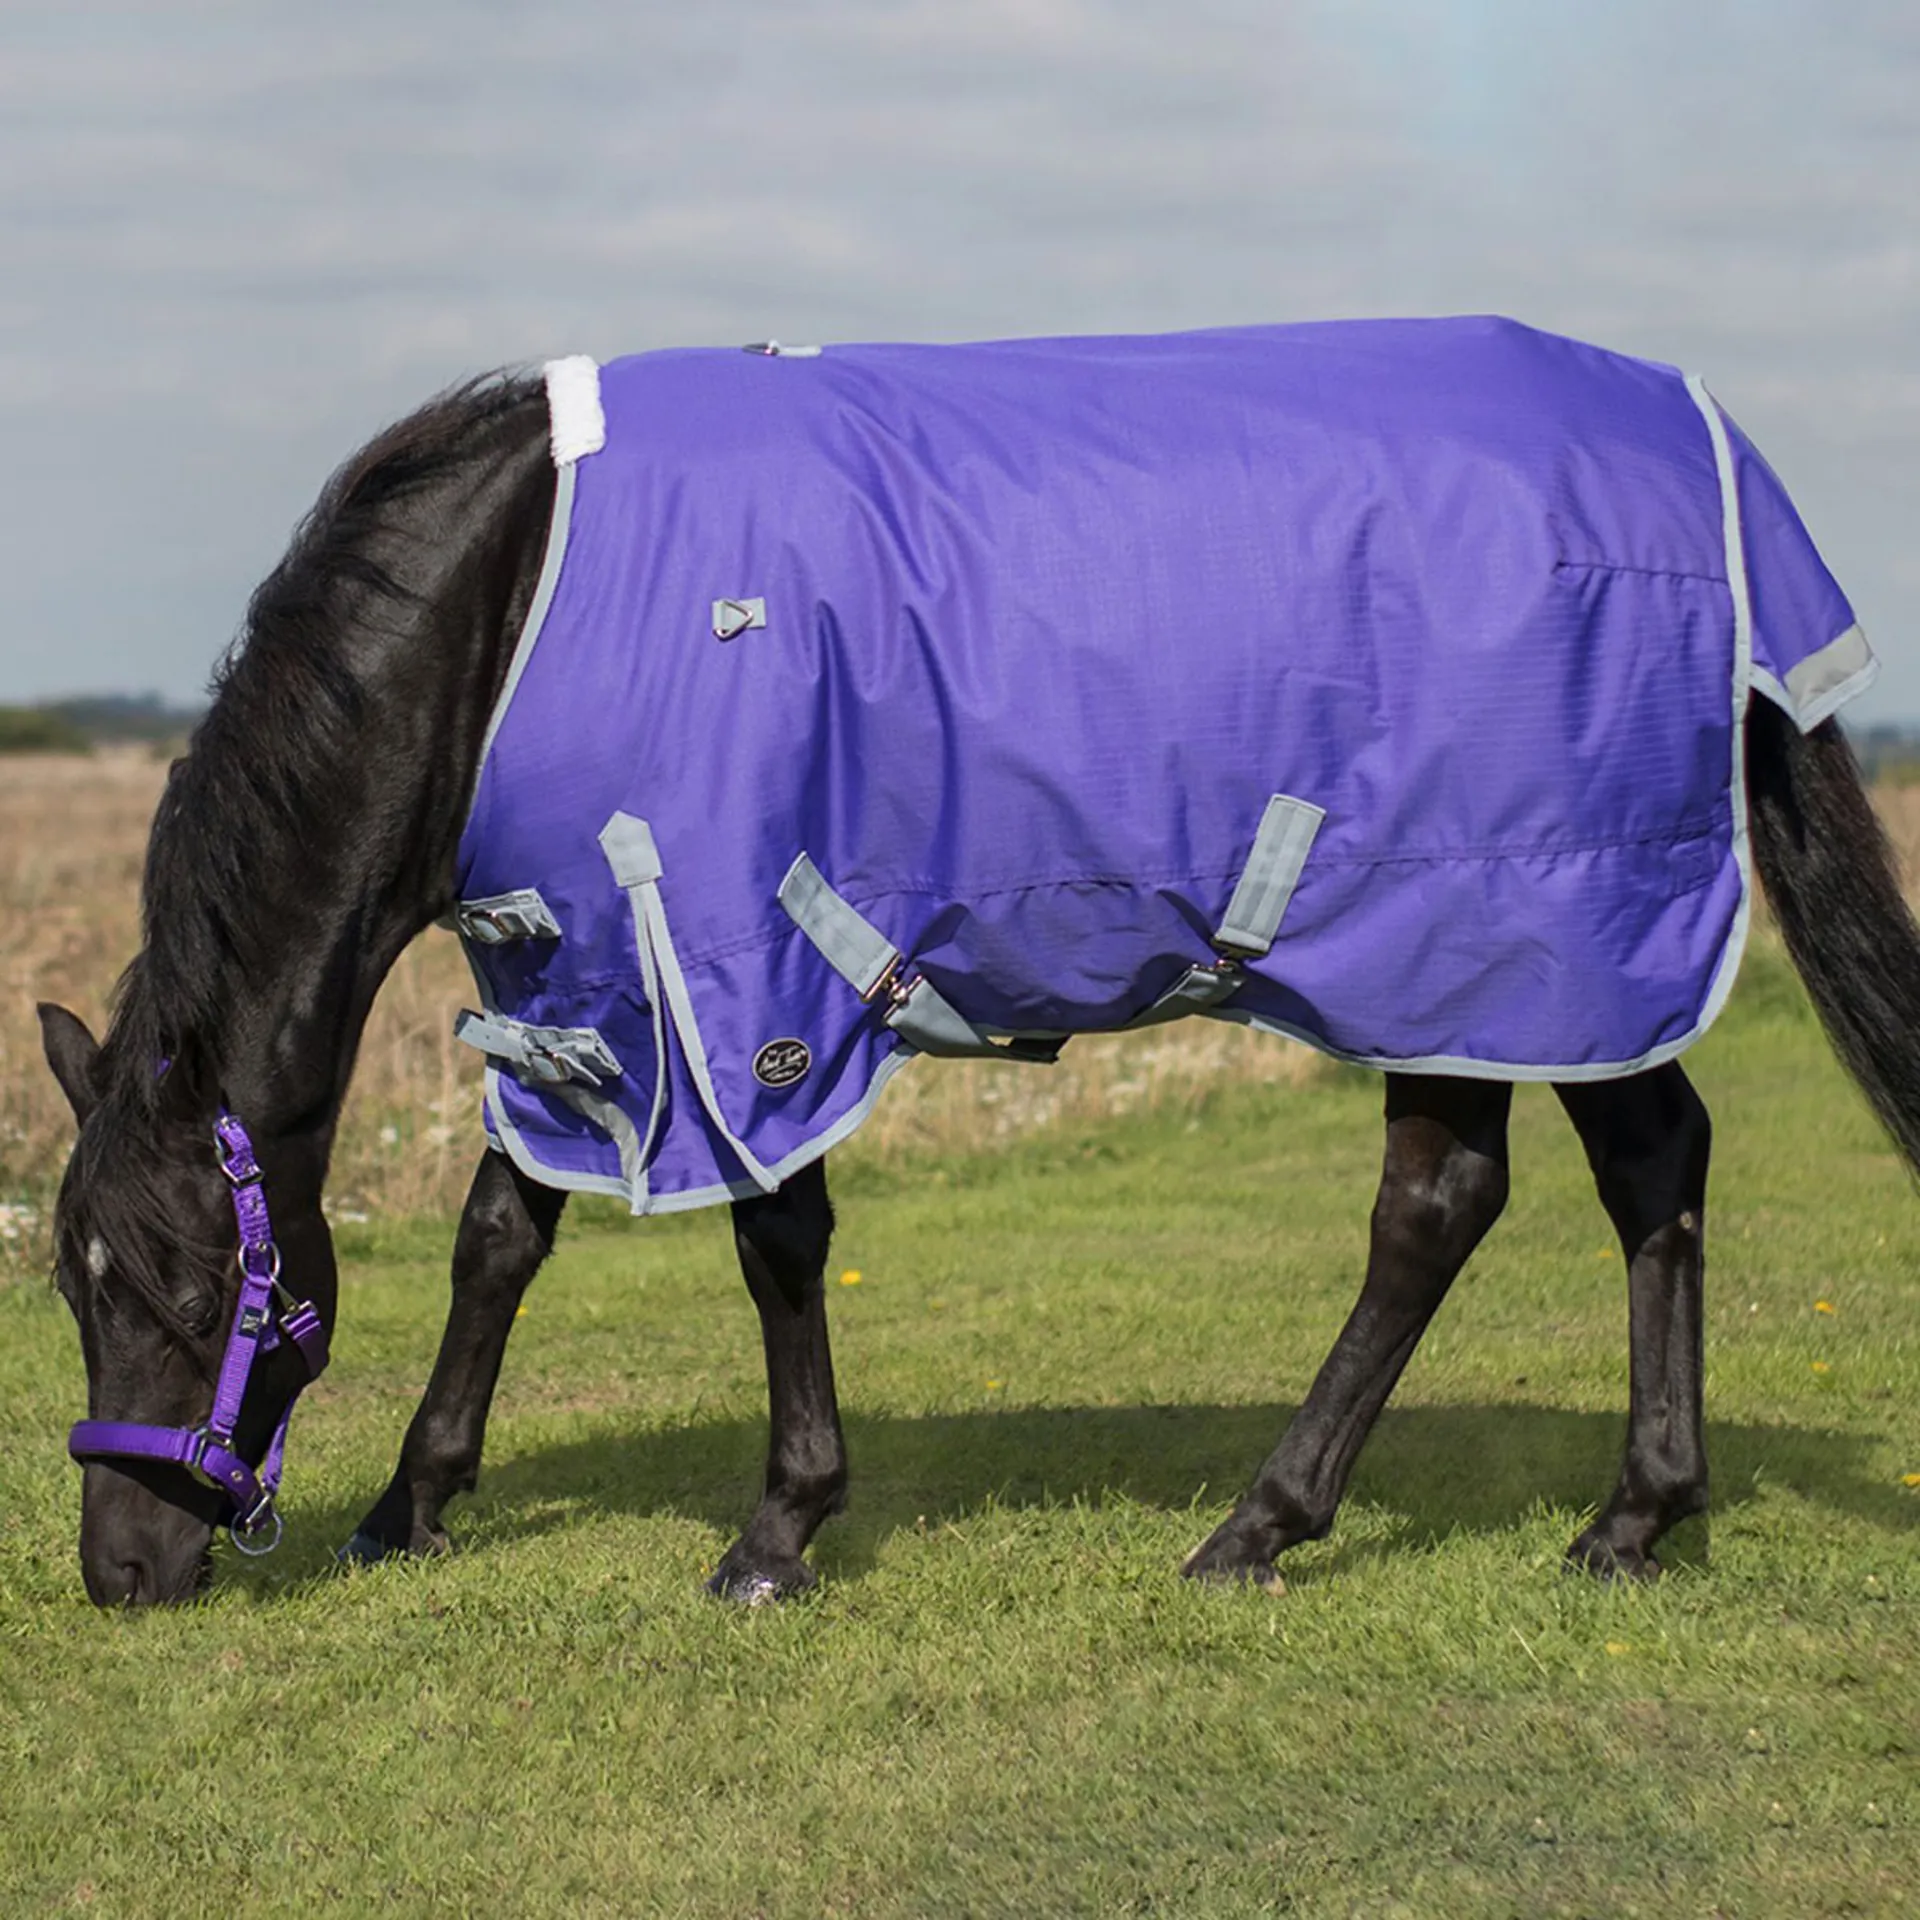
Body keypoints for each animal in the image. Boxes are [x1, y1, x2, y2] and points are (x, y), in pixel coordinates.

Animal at [39, 320, 1920, 1609]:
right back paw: (1636, 1512)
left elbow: (776, 1242)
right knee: (1649, 1165)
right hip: (1575, 956)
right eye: (72, 1287)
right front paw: (412, 1504)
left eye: (192, 1293)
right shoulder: (579, 980)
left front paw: (779, 1527)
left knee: (1437, 1208)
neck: (516, 608)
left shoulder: (740, 971)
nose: (122, 1572)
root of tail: (1704, 449)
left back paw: (1264, 1522)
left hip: (1472, 942)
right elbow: (501, 1234)